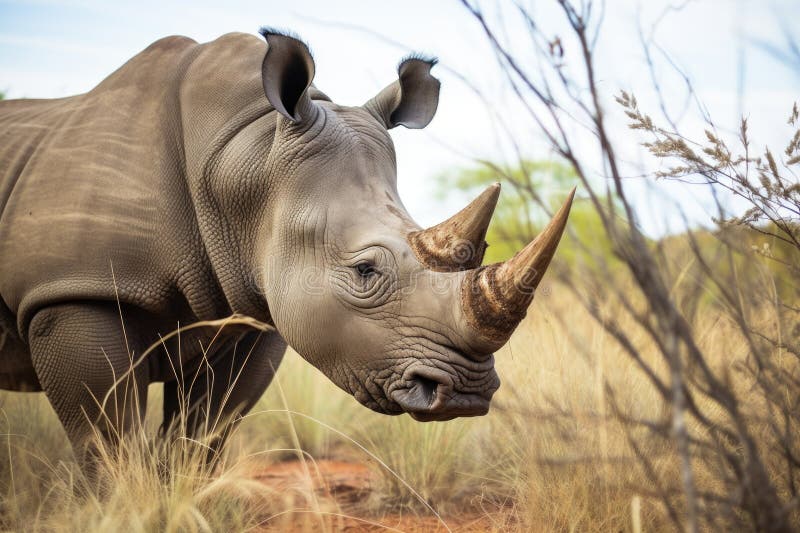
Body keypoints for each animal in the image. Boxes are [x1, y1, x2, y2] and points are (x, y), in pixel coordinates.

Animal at [0, 29, 573, 461]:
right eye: (365, 271)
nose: (466, 393)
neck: (245, 156)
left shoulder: (253, 310)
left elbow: (204, 436)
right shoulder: (73, 290)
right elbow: (109, 445)